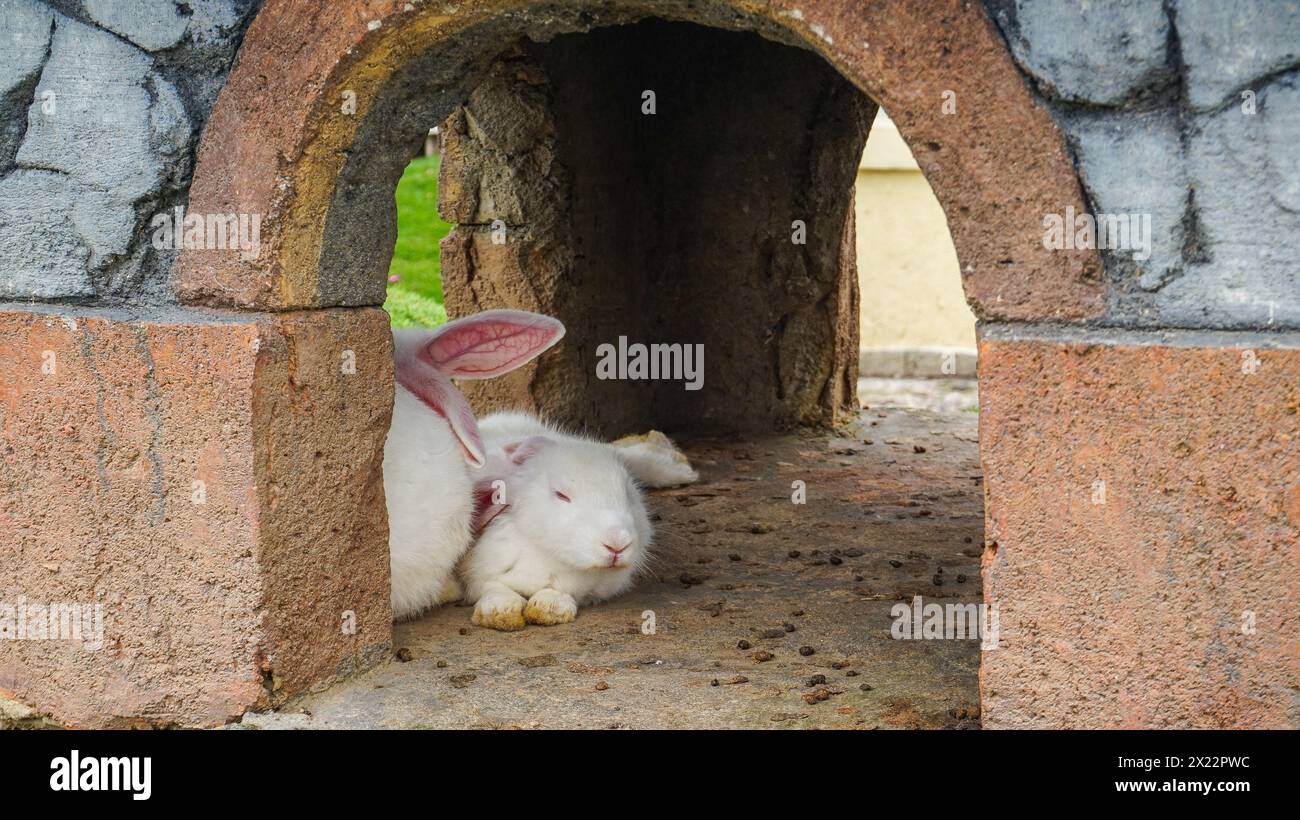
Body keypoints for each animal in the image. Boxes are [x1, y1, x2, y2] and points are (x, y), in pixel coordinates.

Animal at [459, 412, 655, 631]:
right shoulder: (480, 574)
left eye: (628, 493)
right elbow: (494, 587)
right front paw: (500, 612)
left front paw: (550, 608)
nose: (617, 544)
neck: (548, 556)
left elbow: (560, 592)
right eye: (561, 495)